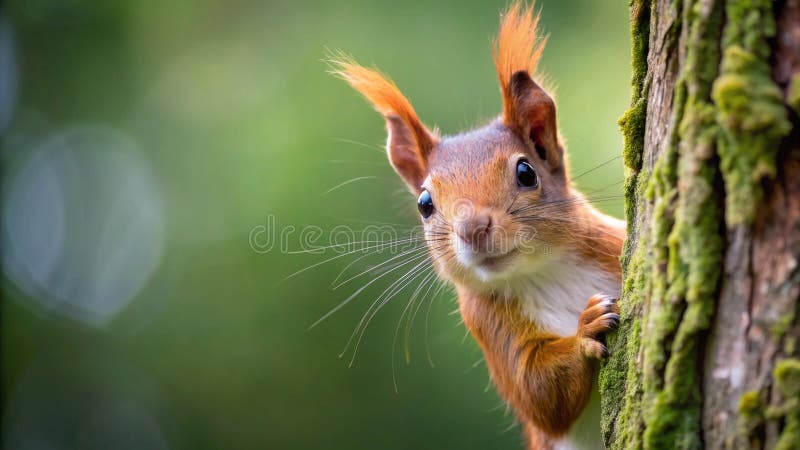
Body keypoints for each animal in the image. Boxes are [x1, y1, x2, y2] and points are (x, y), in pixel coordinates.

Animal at [330, 2, 625, 449]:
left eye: (526, 172)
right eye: (424, 204)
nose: (472, 228)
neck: (544, 272)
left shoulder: (612, 243)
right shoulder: (486, 322)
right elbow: (539, 393)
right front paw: (584, 328)